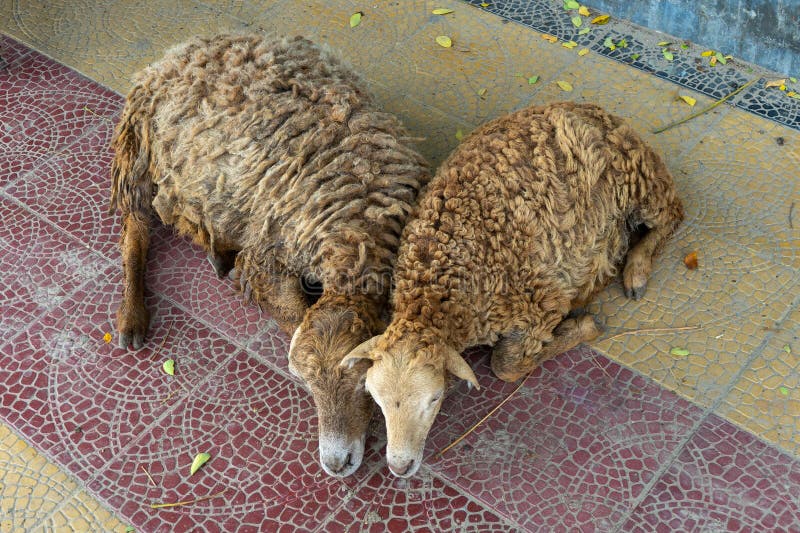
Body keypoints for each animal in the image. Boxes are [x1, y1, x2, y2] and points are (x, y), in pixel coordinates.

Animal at [109, 34, 429, 477]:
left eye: (364, 384)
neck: (357, 230)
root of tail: (180, 52)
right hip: (137, 150)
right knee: (135, 227)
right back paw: (132, 316)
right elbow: (291, 313)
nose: (336, 463)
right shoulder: (268, 257)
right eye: (306, 383)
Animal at [341, 101, 684, 477]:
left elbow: (504, 367)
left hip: (641, 182)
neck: (437, 282)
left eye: (434, 398)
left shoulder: (539, 304)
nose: (399, 466)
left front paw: (582, 326)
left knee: (673, 213)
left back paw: (635, 270)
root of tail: (596, 110)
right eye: (375, 399)